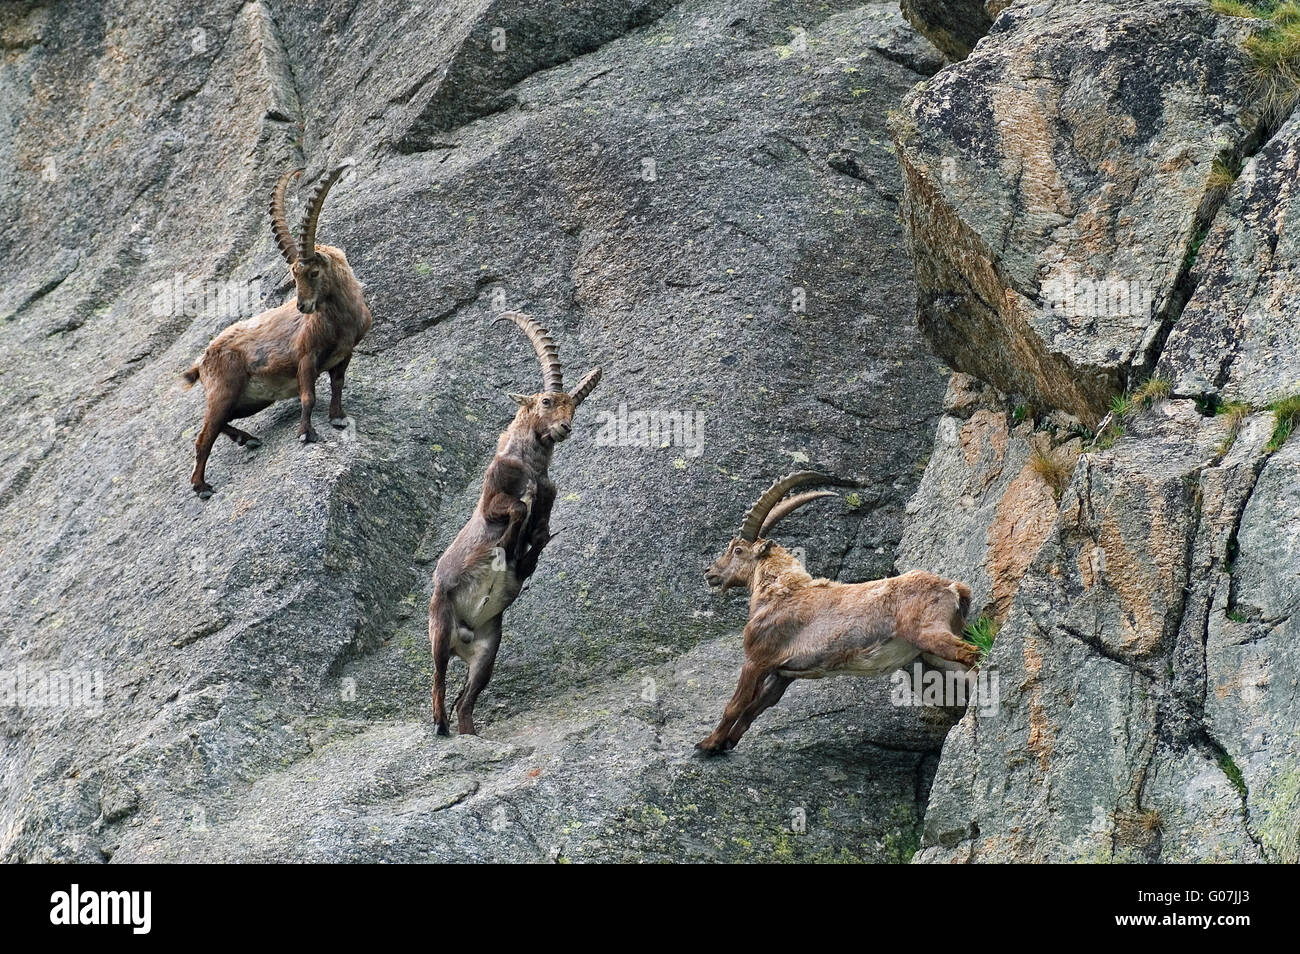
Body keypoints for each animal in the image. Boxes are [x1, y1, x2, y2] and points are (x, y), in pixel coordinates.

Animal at [180, 160, 371, 498]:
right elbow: (308, 396)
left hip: (248, 400)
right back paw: (202, 486)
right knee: (203, 436)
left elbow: (337, 384)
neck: (341, 320)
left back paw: (247, 439)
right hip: (223, 390)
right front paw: (306, 434)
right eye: (293, 274)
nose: (302, 307)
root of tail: (202, 361)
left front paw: (338, 418)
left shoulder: (344, 354)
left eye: (313, 271)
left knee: (221, 423)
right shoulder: (306, 357)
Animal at [428, 311, 601, 736]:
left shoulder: (546, 500)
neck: (531, 469)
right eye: (547, 401)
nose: (564, 428)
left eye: (573, 407)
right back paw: (439, 725)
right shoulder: (492, 500)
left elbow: (539, 536)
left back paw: (469, 733)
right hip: (440, 623)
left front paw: (520, 556)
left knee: (466, 701)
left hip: (487, 651)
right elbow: (517, 510)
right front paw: (504, 546)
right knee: (439, 680)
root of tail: (462, 638)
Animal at [697, 471, 976, 753]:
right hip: (934, 653)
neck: (780, 591)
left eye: (737, 550)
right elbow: (754, 708)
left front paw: (708, 744)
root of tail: (953, 587)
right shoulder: (782, 673)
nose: (710, 572)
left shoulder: (757, 659)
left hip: (928, 632)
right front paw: (727, 742)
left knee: (971, 653)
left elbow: (735, 706)